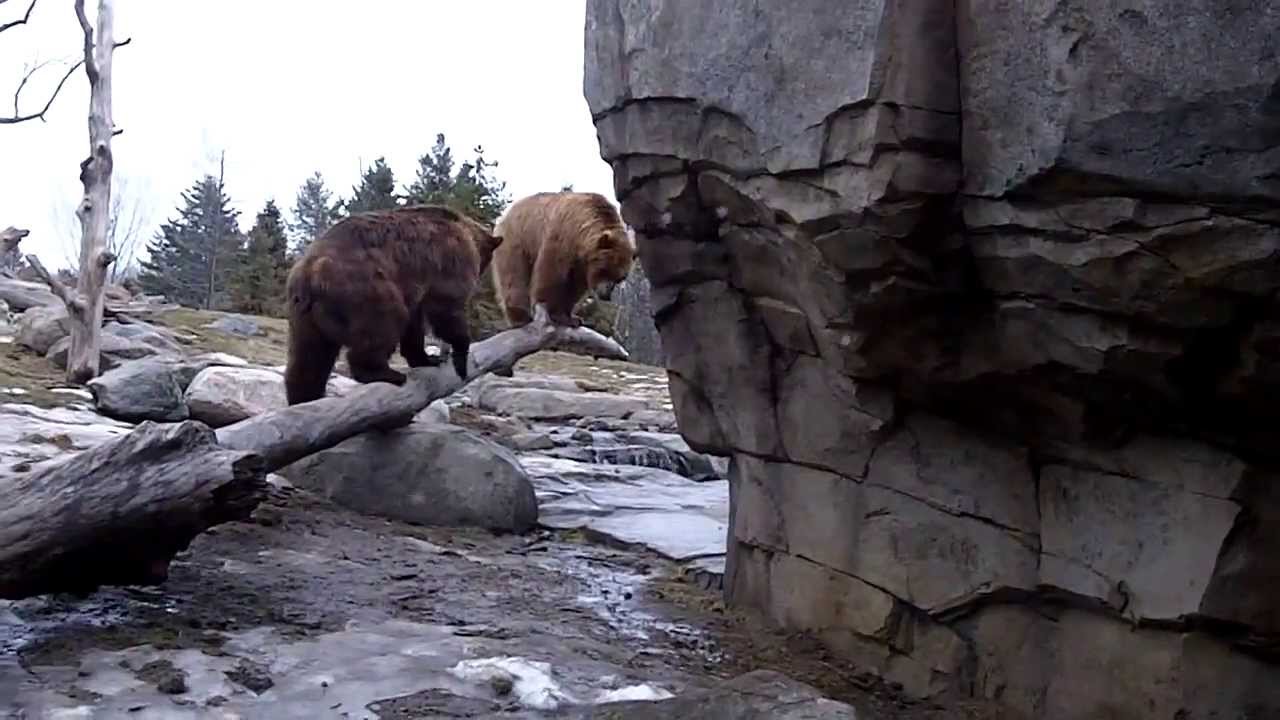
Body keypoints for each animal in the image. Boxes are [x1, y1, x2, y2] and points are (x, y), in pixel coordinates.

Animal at [282, 204, 502, 405]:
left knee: (308, 359)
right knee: (384, 323)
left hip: (304, 316)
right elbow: (446, 307)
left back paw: (304, 397)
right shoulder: (449, 261)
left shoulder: (414, 286)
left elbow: (415, 326)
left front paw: (428, 359)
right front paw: (460, 359)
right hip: (367, 287)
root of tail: (311, 272)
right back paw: (387, 373)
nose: (482, 276)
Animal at [490, 191, 636, 328]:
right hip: (517, 239)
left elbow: (574, 287)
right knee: (514, 276)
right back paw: (520, 317)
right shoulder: (562, 237)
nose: (606, 295)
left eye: (620, 278)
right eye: (605, 269)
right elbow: (551, 273)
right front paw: (553, 312)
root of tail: (506, 214)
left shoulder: (581, 264)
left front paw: (571, 318)